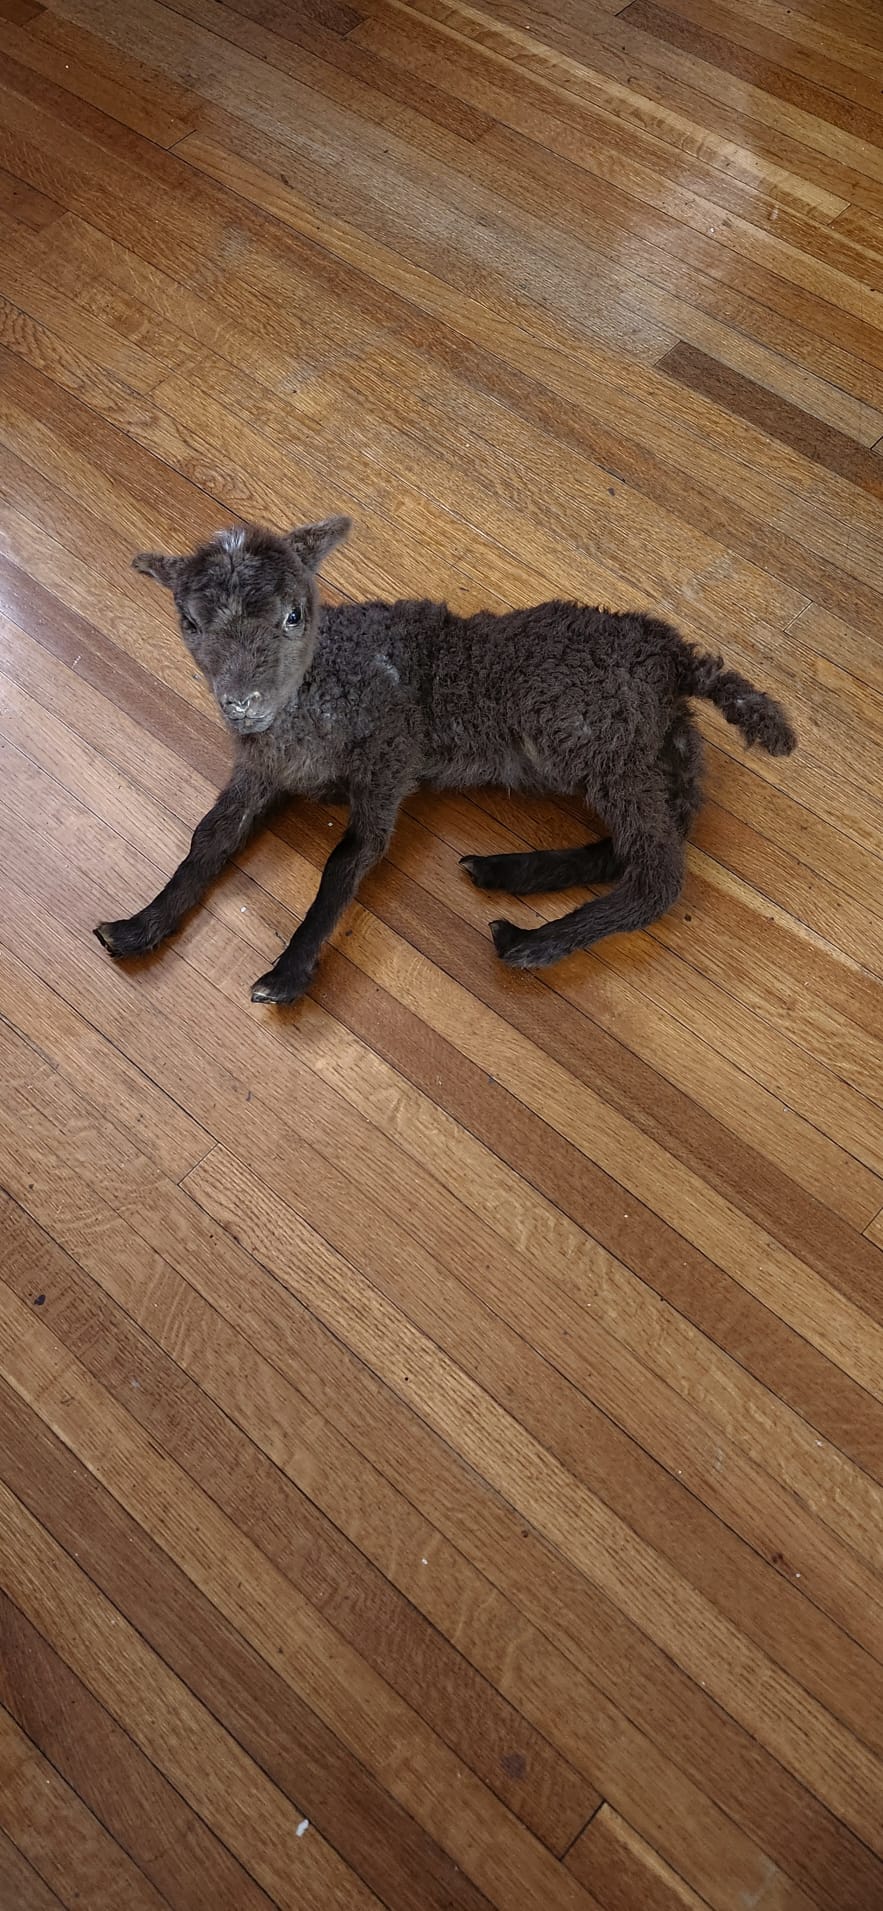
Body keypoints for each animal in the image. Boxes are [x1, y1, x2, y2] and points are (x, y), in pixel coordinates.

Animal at [95, 517, 796, 1006]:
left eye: (295, 614)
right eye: (190, 623)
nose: (243, 704)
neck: (320, 688)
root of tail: (675, 656)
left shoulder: (388, 760)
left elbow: (346, 860)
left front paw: (287, 975)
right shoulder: (263, 771)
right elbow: (208, 838)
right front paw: (137, 927)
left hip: (608, 748)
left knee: (658, 873)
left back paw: (532, 942)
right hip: (657, 753)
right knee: (632, 846)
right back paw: (508, 874)